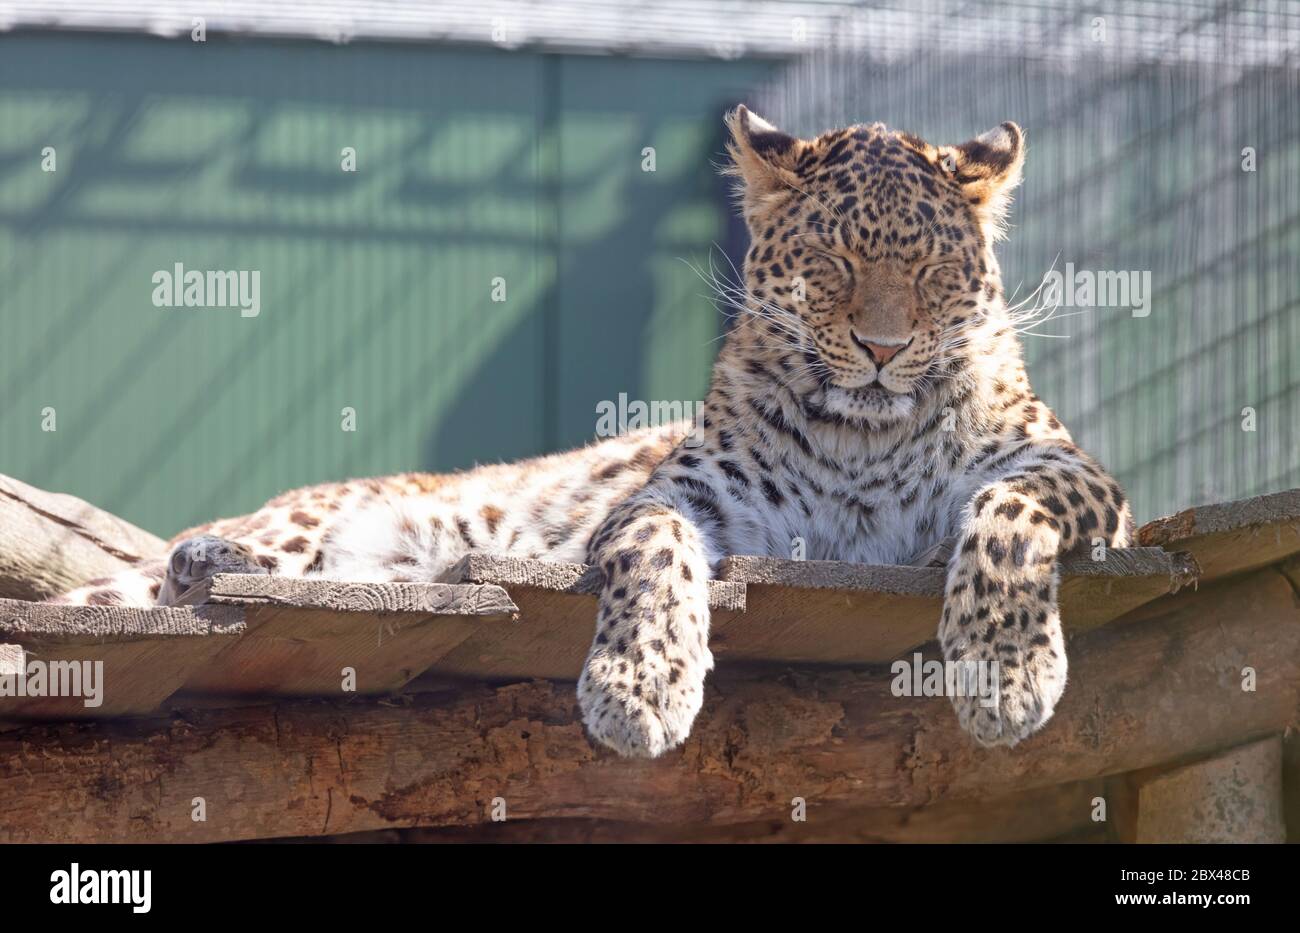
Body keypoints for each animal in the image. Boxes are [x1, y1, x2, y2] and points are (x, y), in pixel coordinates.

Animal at [55, 106, 1132, 757]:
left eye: (931, 272)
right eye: (832, 260)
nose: (880, 346)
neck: (862, 440)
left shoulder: (1077, 474)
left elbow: (1005, 515)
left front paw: (1001, 675)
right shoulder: (681, 496)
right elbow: (652, 551)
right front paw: (639, 686)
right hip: (319, 520)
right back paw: (207, 557)